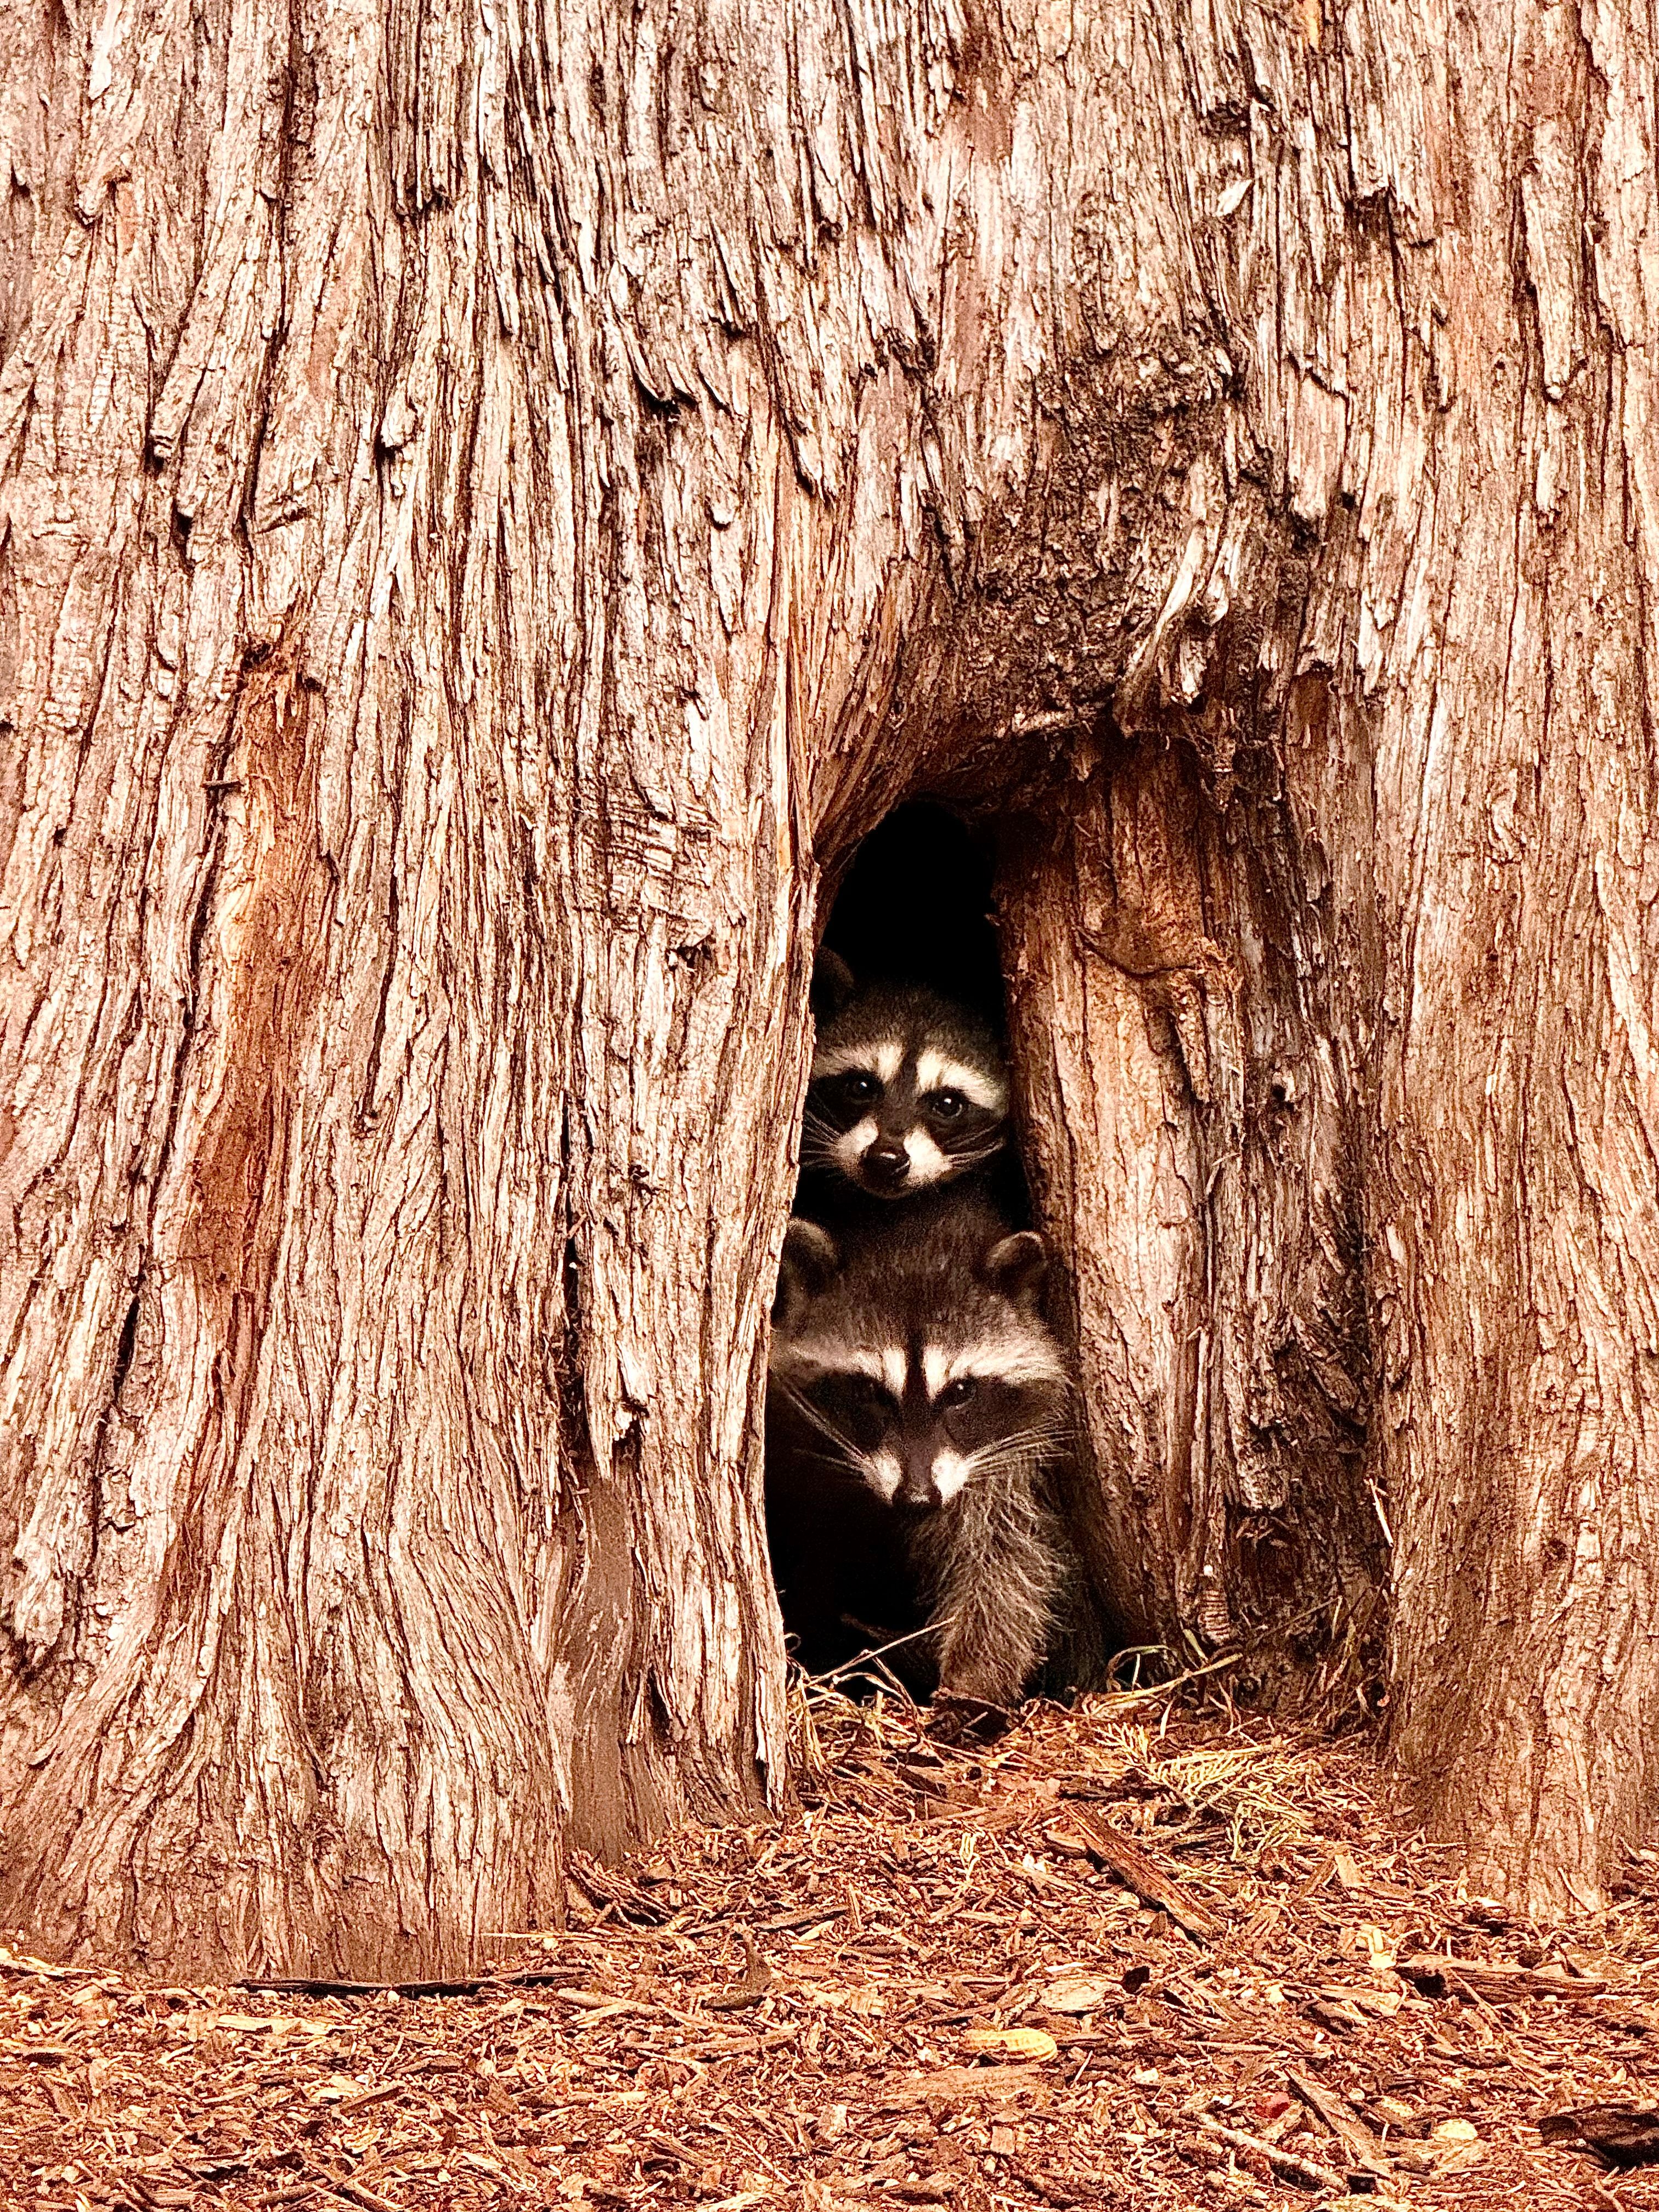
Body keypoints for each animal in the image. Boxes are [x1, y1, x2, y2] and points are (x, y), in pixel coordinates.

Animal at [765, 1186, 1075, 1708]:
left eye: (961, 1392)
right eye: (870, 1391)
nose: (916, 1498)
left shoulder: (1017, 1452)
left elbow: (1006, 1560)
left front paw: (975, 1679)